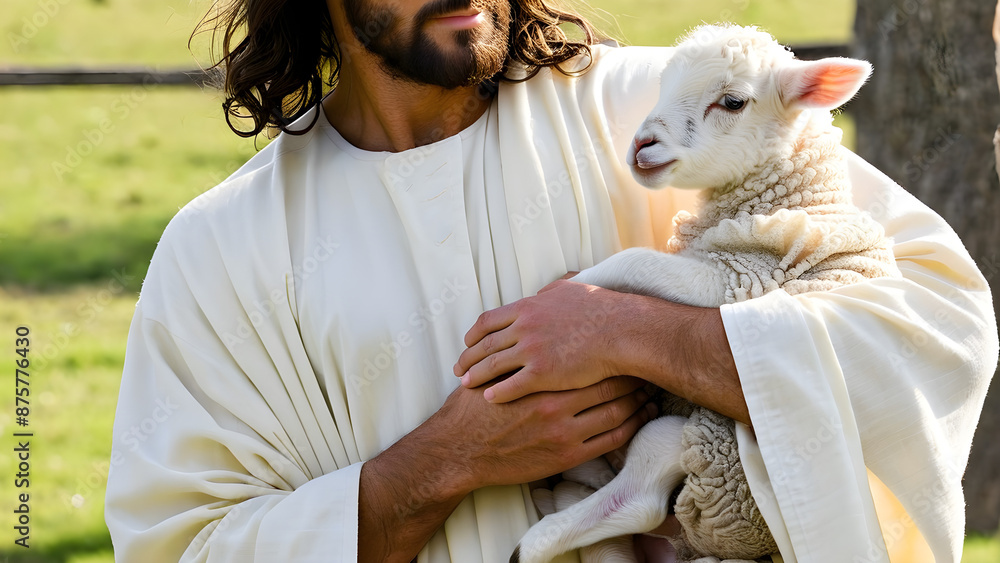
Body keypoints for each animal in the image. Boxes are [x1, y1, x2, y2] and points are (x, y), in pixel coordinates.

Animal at [510, 23, 900, 563]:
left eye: (733, 101)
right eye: (662, 84)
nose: (642, 144)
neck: (798, 195)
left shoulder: (739, 277)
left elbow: (636, 260)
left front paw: (558, 295)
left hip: (712, 455)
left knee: (646, 493)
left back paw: (533, 541)